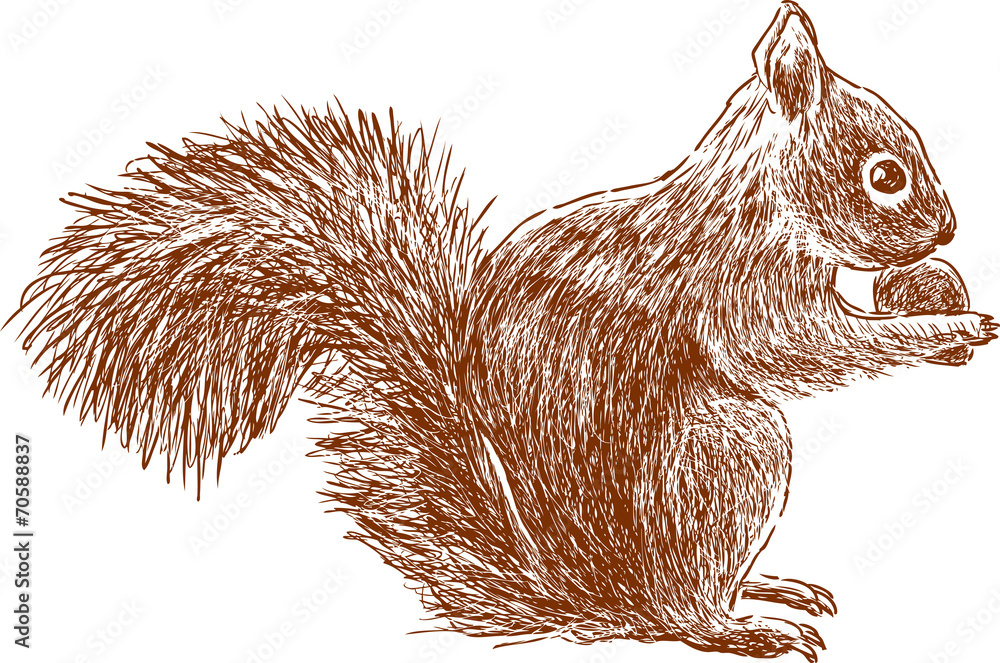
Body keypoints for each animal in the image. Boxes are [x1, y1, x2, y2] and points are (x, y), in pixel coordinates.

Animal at [9, 2, 996, 661]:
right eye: (885, 174)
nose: (949, 233)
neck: (760, 197)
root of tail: (587, 594)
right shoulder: (736, 281)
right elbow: (794, 348)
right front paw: (953, 323)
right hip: (725, 451)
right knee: (680, 609)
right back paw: (740, 625)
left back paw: (767, 582)